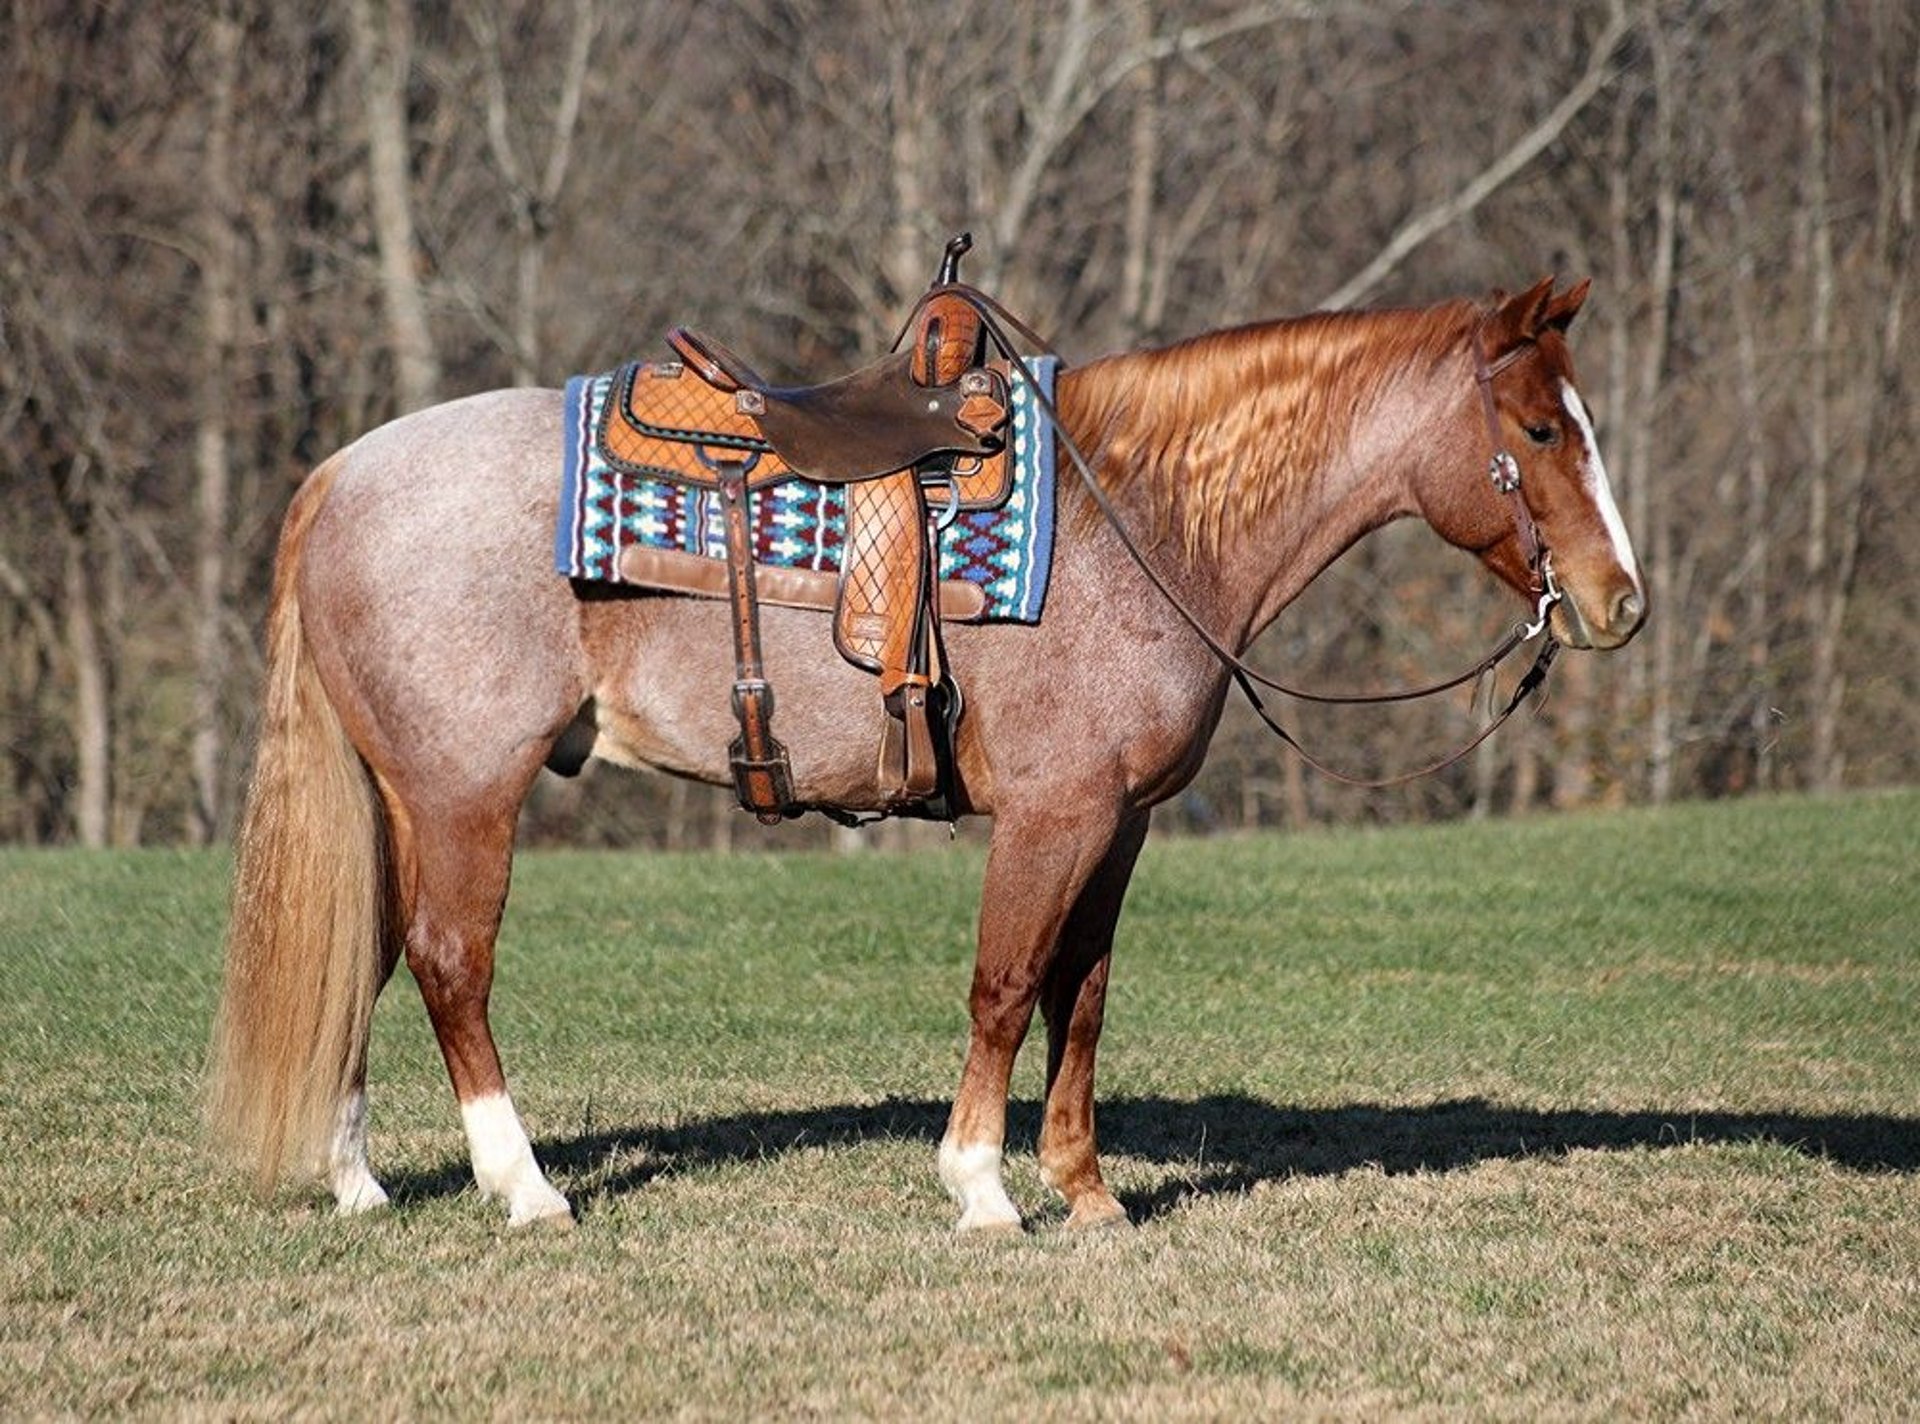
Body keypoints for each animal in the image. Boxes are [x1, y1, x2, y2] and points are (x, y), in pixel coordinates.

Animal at [207, 277, 1644, 1231]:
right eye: (1539, 429)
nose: (1618, 601)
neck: (1143, 519)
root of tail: (340, 473)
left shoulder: (1119, 821)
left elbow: (1082, 994)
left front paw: (1086, 1191)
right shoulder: (1055, 814)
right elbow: (1006, 985)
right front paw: (984, 1187)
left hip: (399, 797)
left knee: (366, 955)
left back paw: (358, 1182)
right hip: (463, 793)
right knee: (451, 966)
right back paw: (526, 1189)